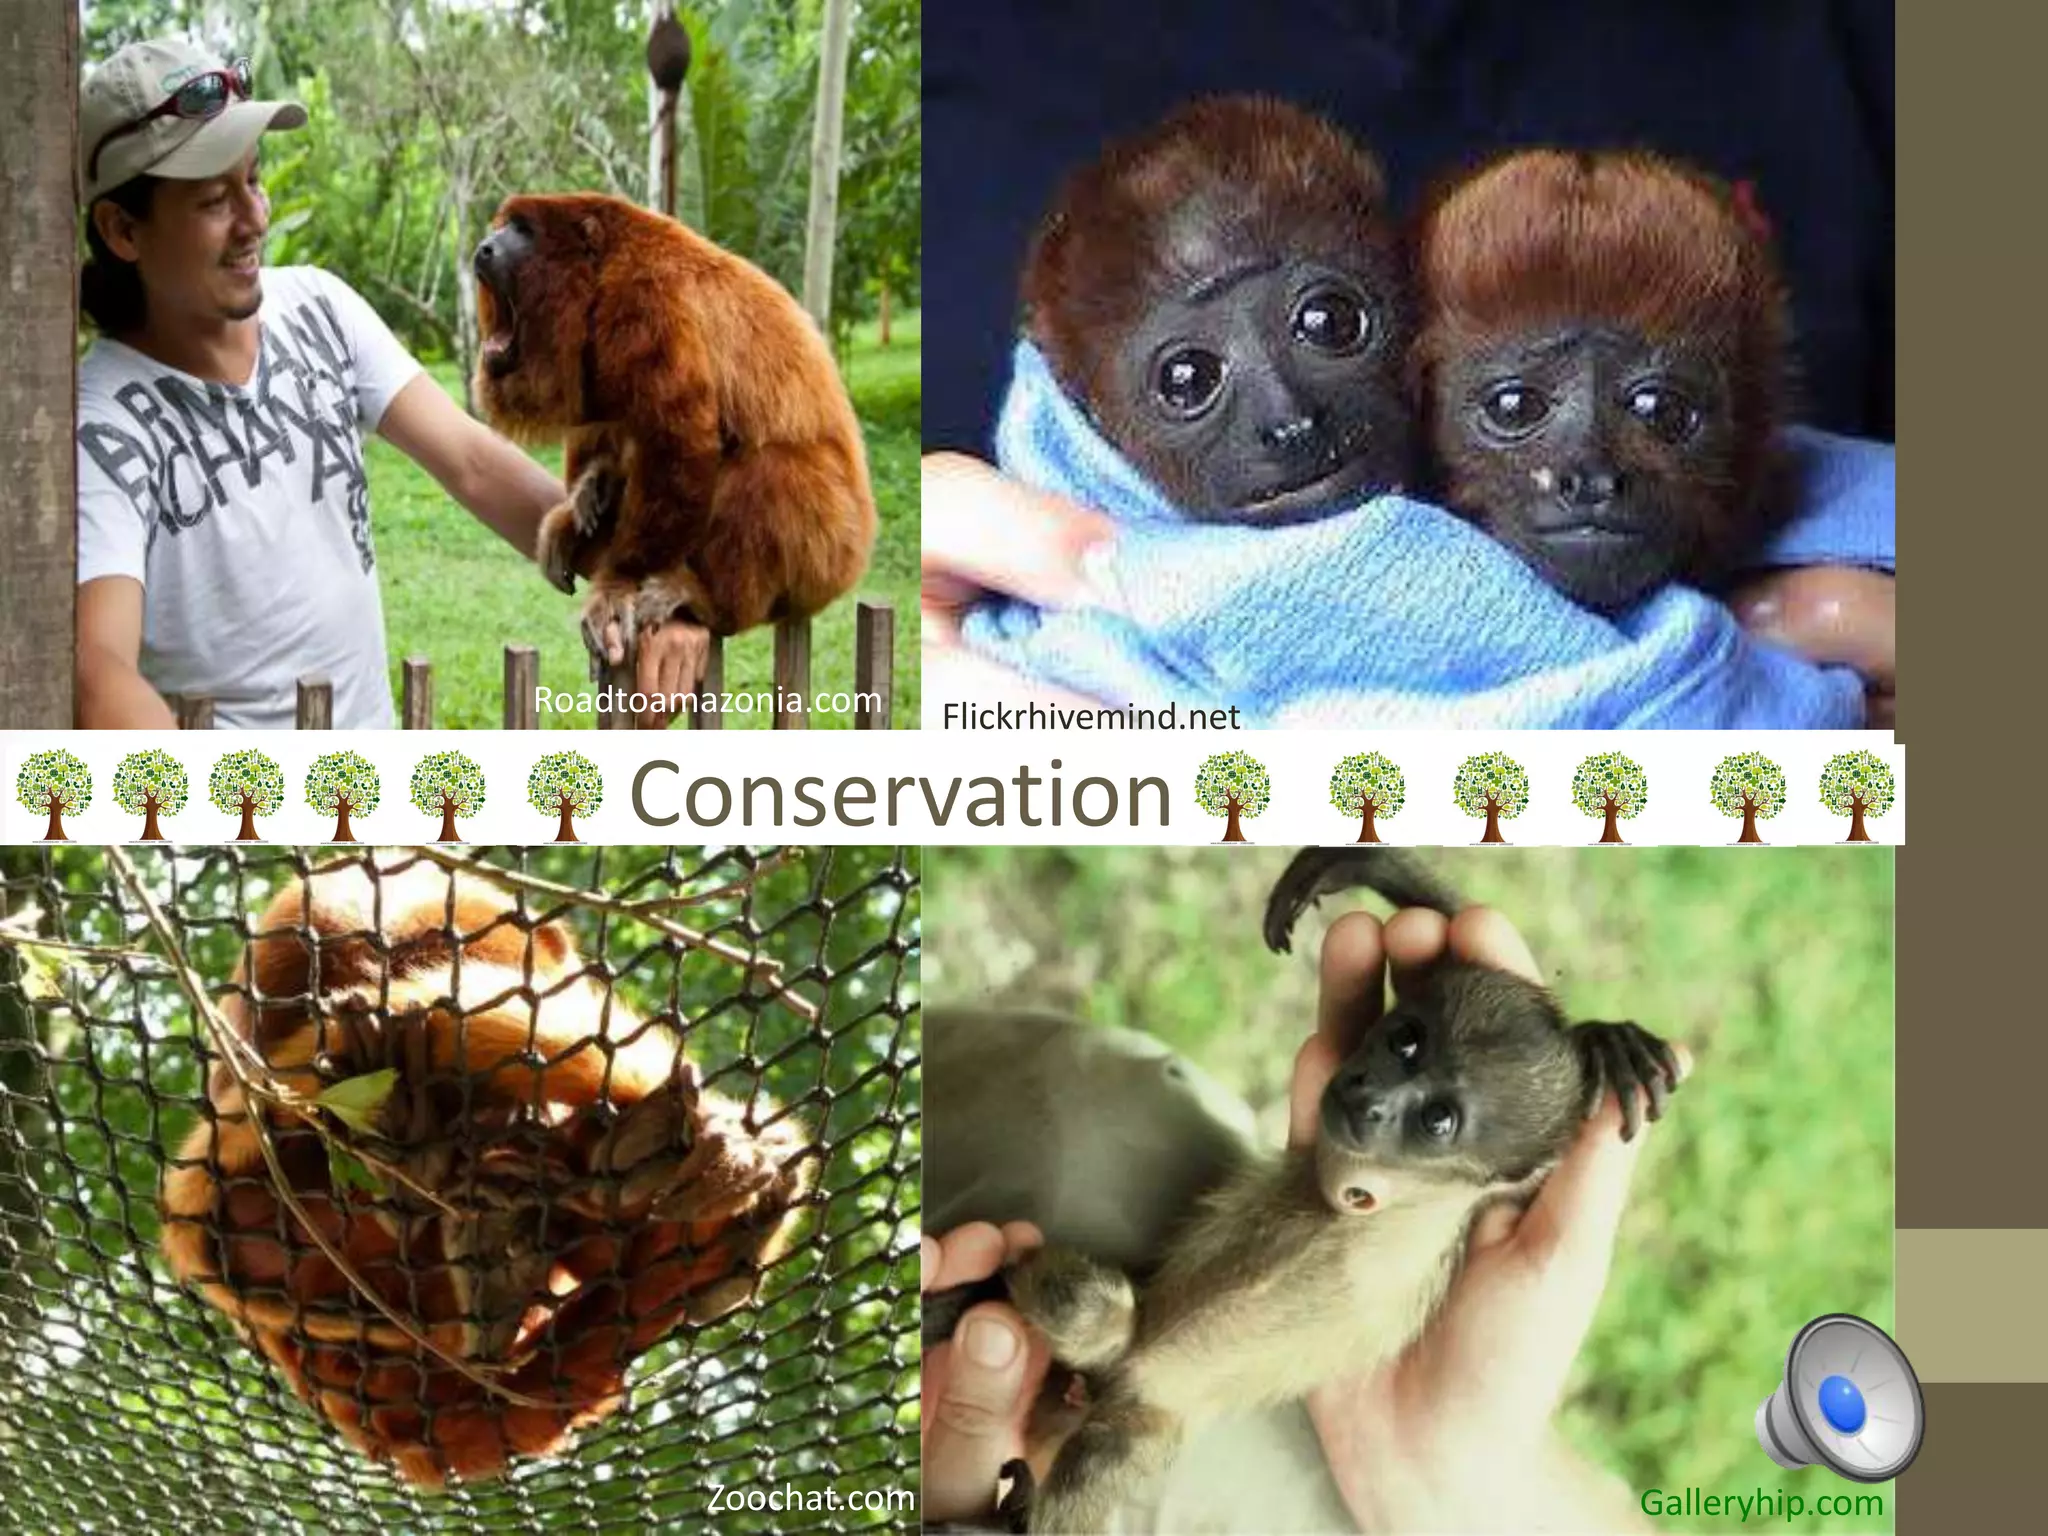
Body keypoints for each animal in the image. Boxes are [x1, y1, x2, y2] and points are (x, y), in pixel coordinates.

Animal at [470, 193, 876, 660]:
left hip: (824, 555)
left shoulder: (646, 304)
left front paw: (619, 582)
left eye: (523, 231)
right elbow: (601, 415)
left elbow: (680, 445)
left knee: (775, 469)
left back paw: (712, 601)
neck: (601, 276)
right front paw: (586, 494)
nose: (484, 247)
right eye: (502, 227)